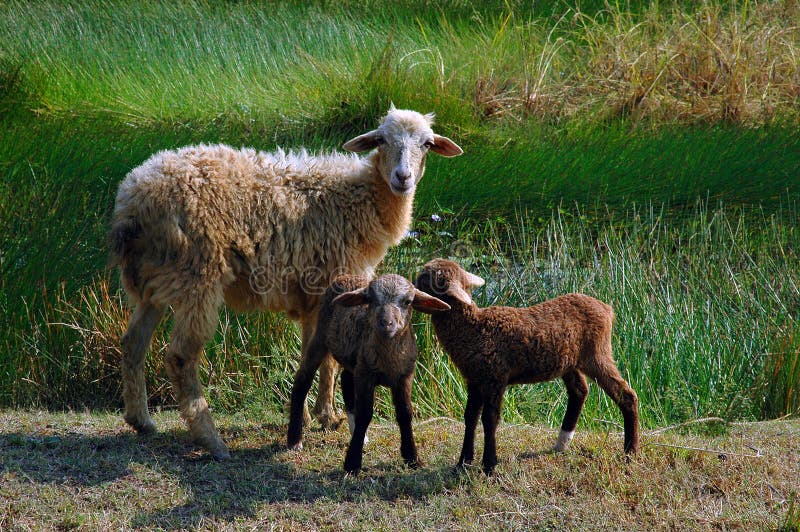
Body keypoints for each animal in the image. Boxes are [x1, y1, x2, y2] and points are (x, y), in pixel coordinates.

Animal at [286, 274, 450, 473]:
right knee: (302, 380)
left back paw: (358, 433)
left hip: (354, 359)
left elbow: (405, 413)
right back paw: (294, 440)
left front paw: (412, 457)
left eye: (408, 301)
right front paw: (353, 462)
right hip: (321, 336)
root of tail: (345, 276)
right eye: (371, 300)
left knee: (346, 380)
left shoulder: (404, 375)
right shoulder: (366, 375)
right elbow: (365, 413)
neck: (388, 360)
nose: (386, 324)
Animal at [414, 259, 640, 473]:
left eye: (426, 279)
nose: (412, 291)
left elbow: (490, 419)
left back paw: (630, 451)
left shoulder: (495, 377)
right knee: (579, 391)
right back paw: (562, 443)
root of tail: (607, 309)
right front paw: (463, 463)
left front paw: (489, 466)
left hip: (596, 354)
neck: (473, 327)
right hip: (569, 362)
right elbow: (470, 417)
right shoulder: (475, 380)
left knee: (626, 395)